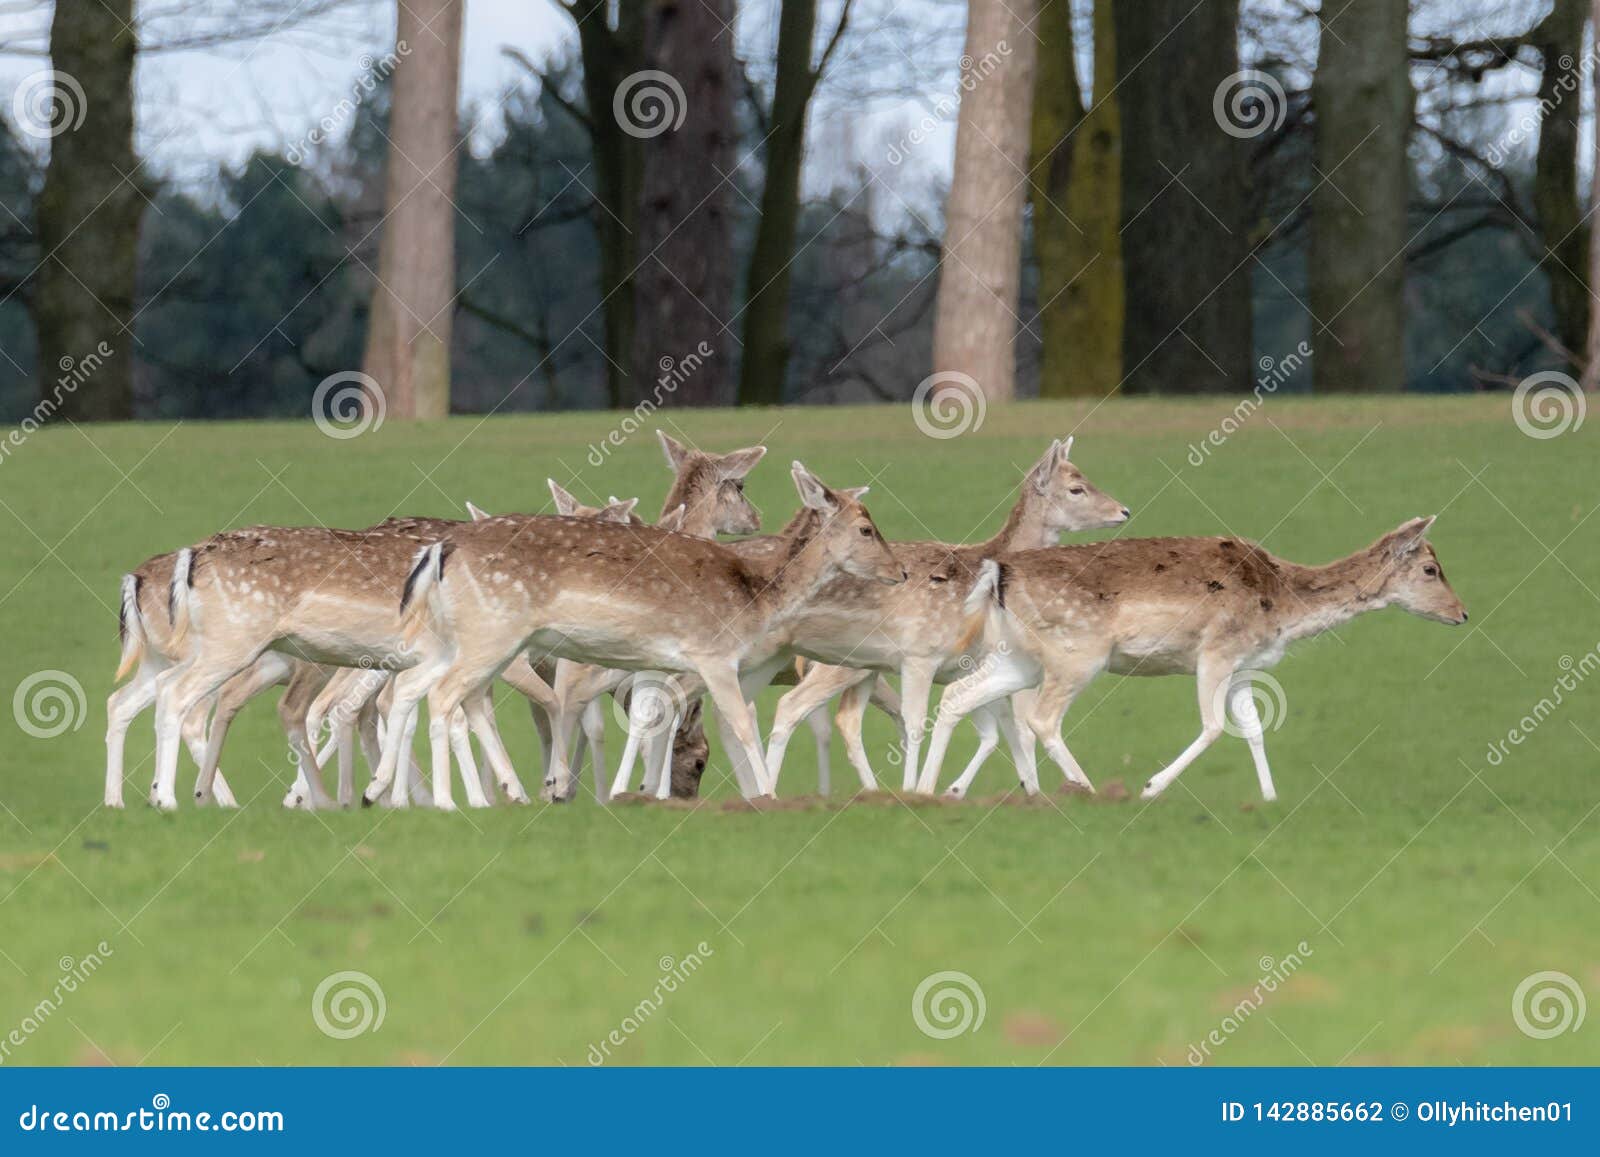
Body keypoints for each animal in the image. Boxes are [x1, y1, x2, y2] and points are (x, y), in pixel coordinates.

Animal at [362, 463, 906, 807]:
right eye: (866, 529)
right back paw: (450, 801)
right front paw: (768, 795)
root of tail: (442, 548)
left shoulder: (678, 665)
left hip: (462, 640)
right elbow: (742, 723)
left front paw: (646, 793)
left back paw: (382, 792)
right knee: (442, 696)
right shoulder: (713, 654)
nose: (900, 571)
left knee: (420, 692)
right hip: (491, 633)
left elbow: (663, 718)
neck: (755, 595)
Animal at [756, 437, 1130, 795]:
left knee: (844, 719)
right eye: (1076, 488)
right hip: (838, 665)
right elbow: (993, 726)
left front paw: (1026, 791)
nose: (1124, 510)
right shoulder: (927, 657)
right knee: (791, 706)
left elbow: (1002, 729)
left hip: (864, 670)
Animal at [916, 516, 1467, 801]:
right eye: (1431, 568)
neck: (1283, 604)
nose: (1462, 613)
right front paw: (1151, 785)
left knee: (960, 695)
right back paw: (1089, 790)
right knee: (1041, 717)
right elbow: (1214, 726)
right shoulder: (1215, 651)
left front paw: (1270, 799)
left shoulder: (1244, 666)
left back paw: (926, 792)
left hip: (1018, 657)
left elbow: (1254, 729)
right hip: (1077, 653)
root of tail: (996, 573)